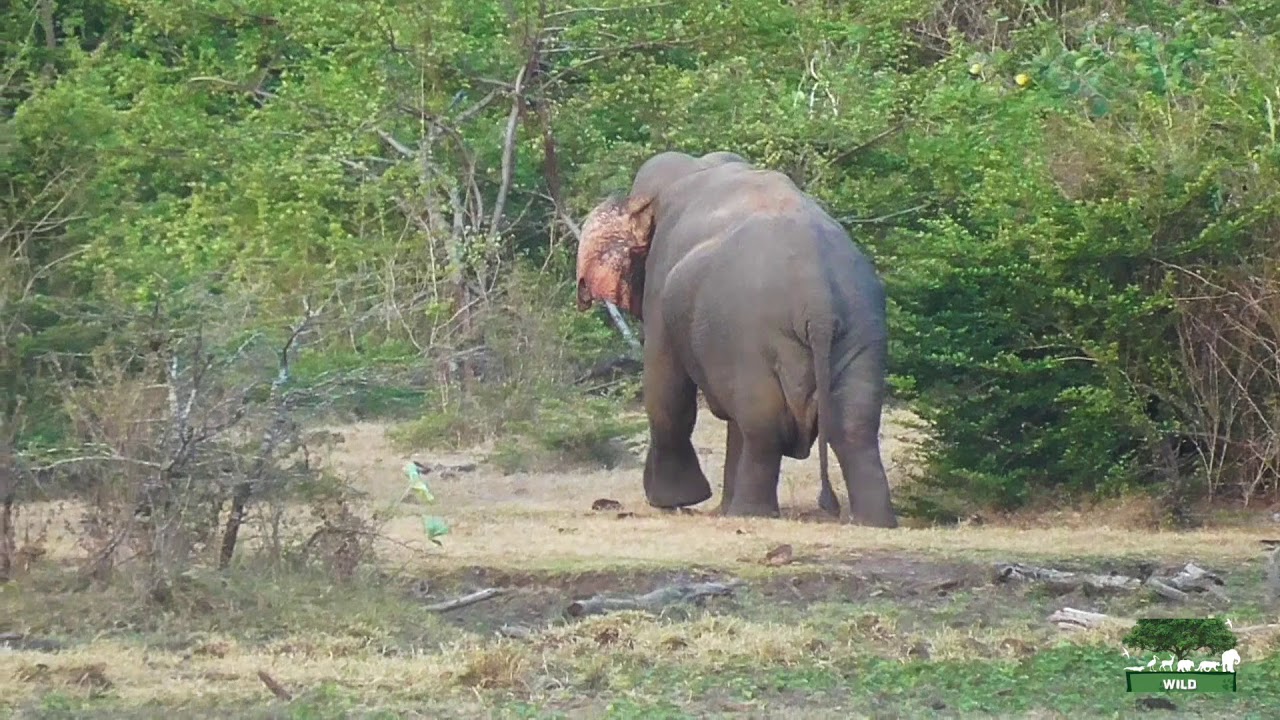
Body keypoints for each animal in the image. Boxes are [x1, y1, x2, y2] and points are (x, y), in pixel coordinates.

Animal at [574, 150, 898, 527]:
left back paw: (749, 512)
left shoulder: (659, 287)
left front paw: (676, 500)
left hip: (751, 337)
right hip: (861, 330)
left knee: (763, 424)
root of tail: (817, 300)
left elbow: (666, 391)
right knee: (854, 423)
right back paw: (874, 521)